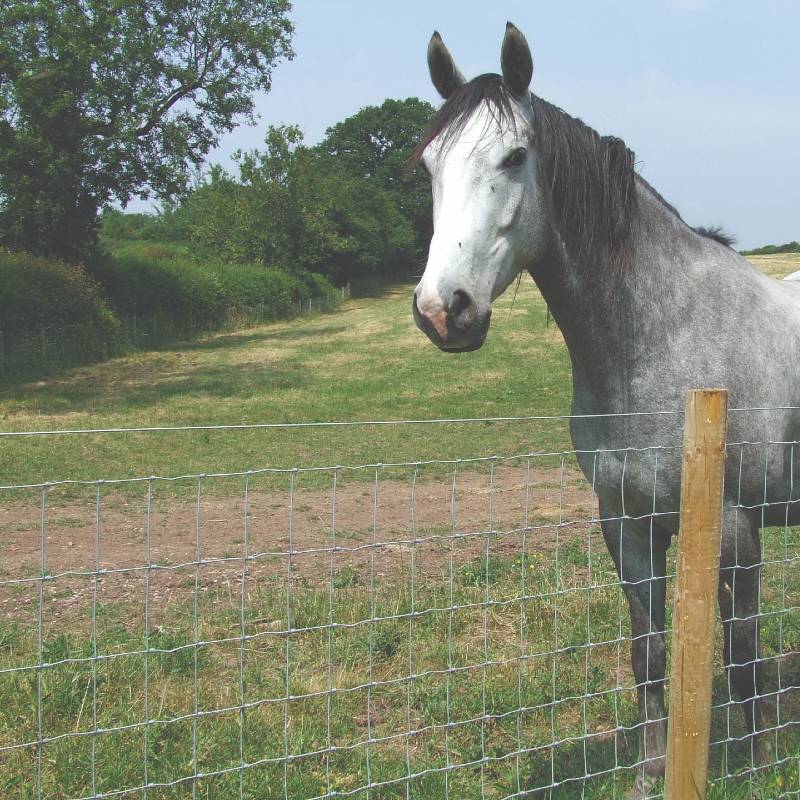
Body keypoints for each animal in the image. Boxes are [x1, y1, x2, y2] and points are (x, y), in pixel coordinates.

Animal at [411, 22, 800, 798]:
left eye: (515, 156)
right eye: (430, 163)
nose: (444, 311)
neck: (660, 335)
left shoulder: (736, 526)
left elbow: (740, 648)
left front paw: (761, 761)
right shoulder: (627, 523)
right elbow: (648, 651)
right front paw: (650, 771)